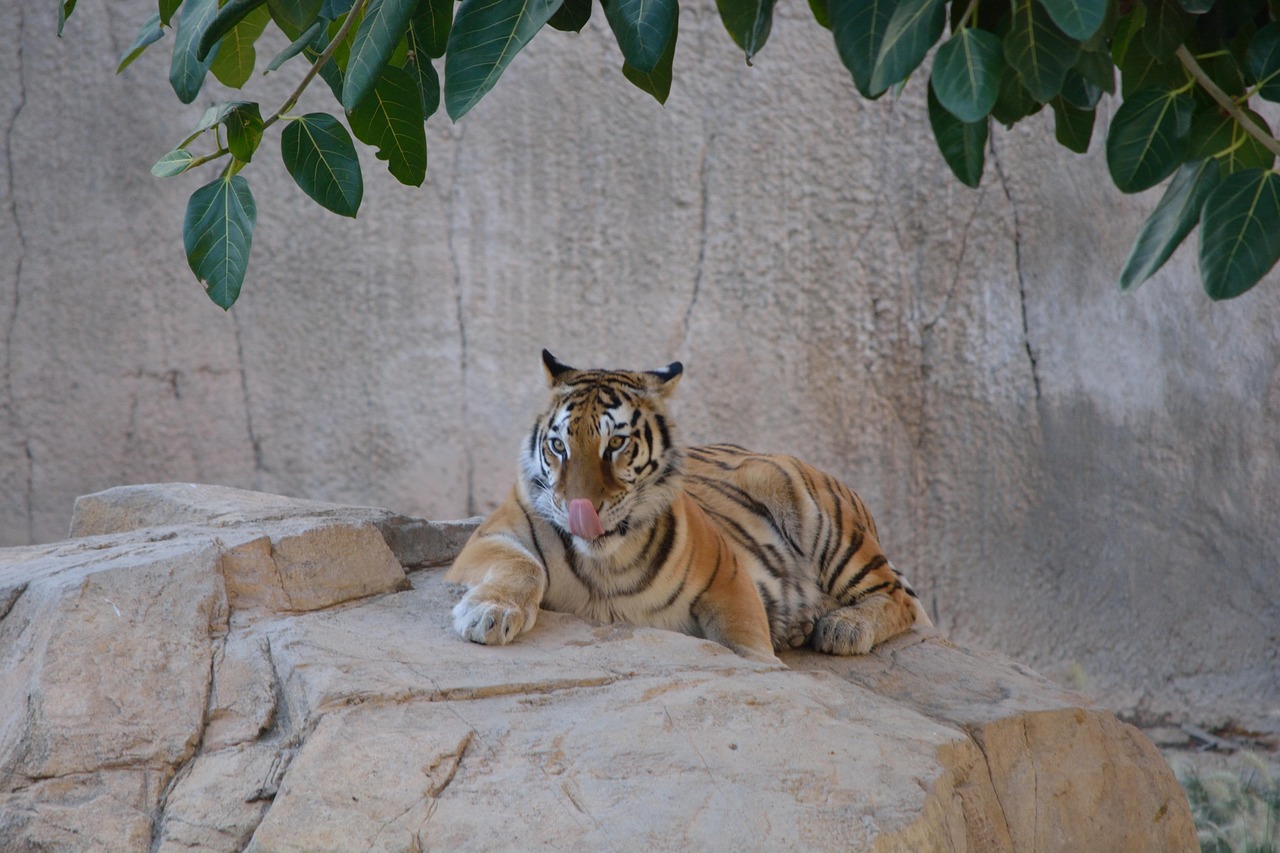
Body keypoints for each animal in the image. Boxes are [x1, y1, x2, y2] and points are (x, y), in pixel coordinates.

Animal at [446, 350, 931, 664]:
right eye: (559, 446)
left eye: (615, 444)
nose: (581, 508)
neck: (604, 560)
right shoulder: (489, 537)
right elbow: (524, 565)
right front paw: (489, 614)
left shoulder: (728, 577)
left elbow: (748, 644)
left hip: (825, 523)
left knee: (900, 598)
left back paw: (842, 628)